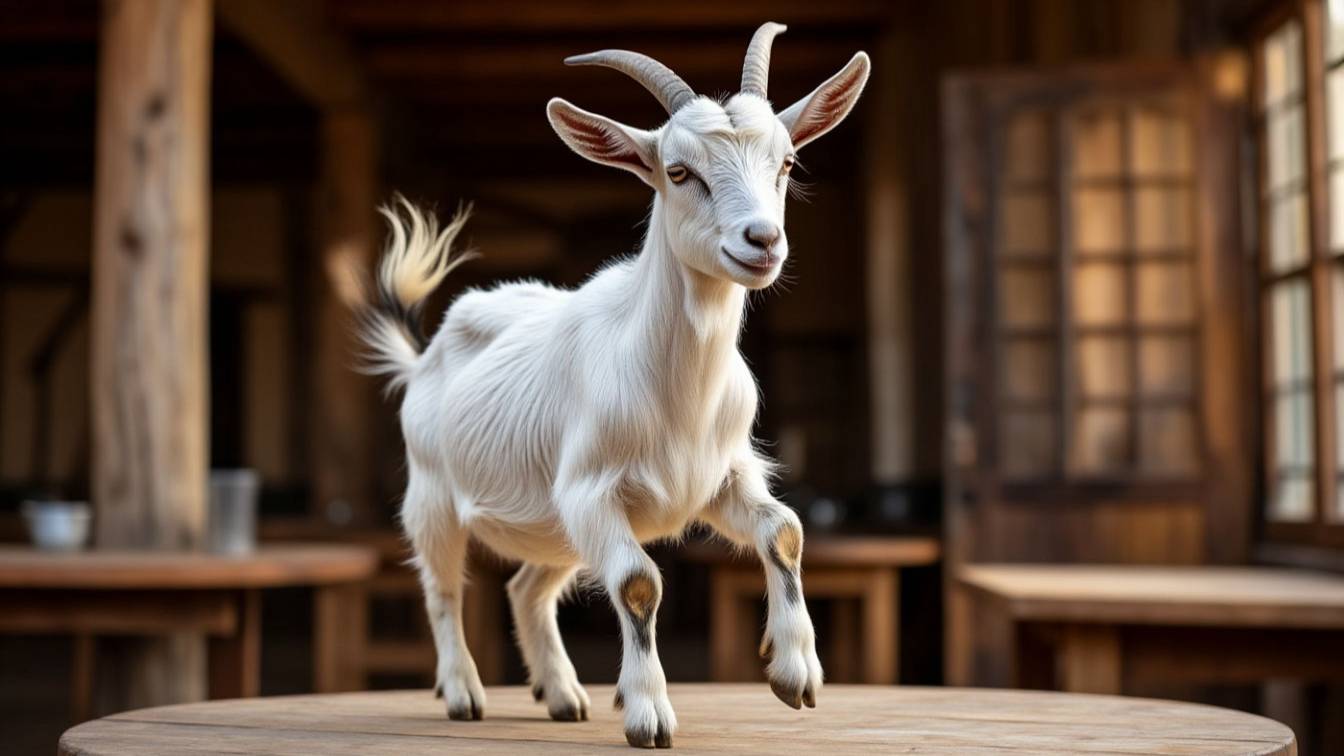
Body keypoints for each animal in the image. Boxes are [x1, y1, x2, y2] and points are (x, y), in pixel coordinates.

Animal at [357, 23, 869, 749]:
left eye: (788, 163)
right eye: (679, 172)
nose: (762, 241)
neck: (677, 393)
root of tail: (423, 356)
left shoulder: (718, 479)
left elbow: (785, 530)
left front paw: (794, 671)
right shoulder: (591, 491)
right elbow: (637, 584)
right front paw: (649, 714)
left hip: (554, 528)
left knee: (526, 589)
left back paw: (562, 694)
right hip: (434, 496)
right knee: (444, 588)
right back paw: (462, 693)